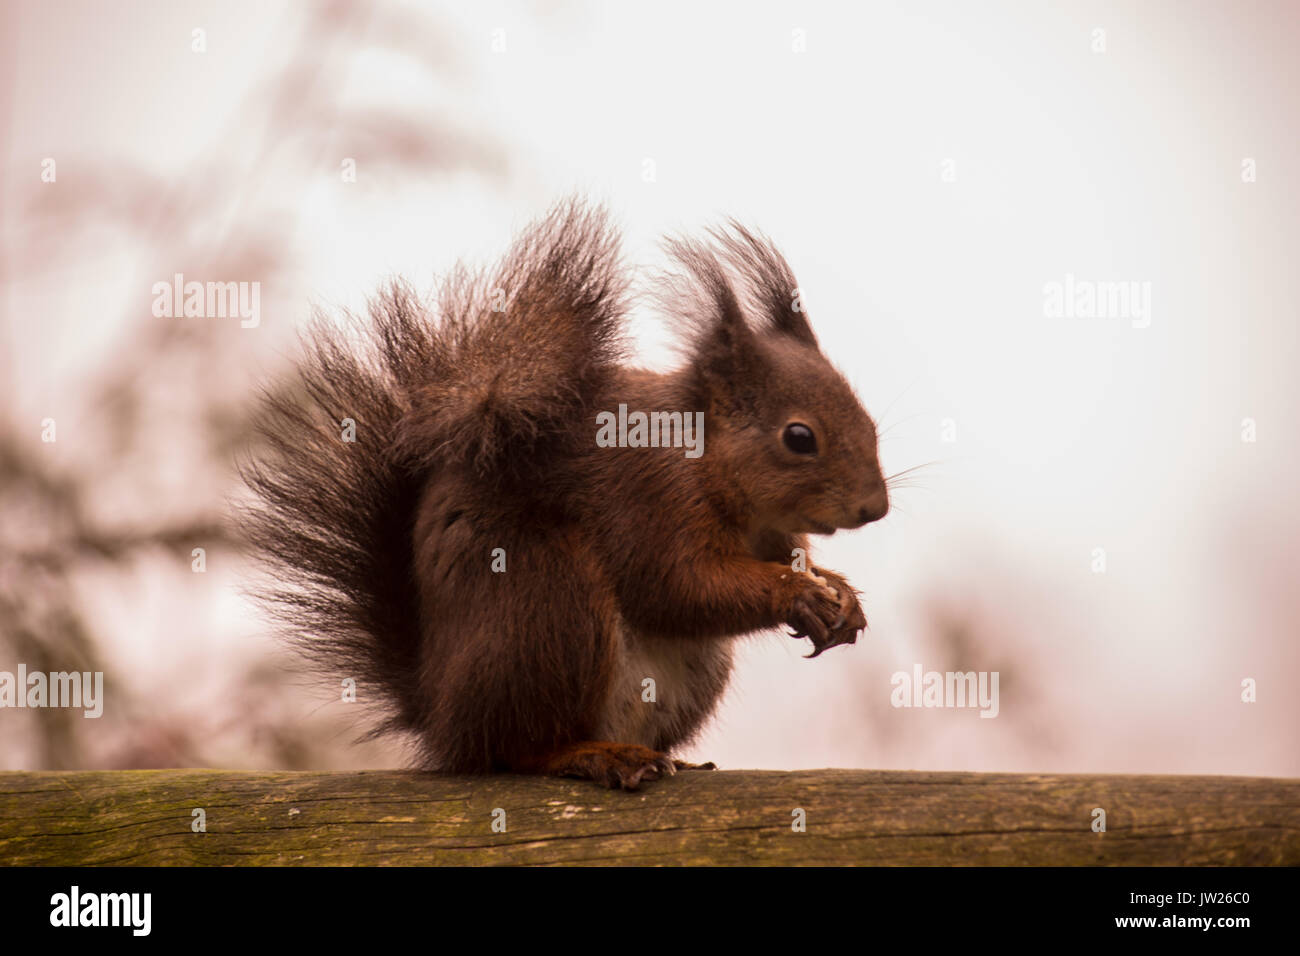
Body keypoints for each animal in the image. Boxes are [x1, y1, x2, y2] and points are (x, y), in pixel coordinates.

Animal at [241, 197, 889, 790]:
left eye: (869, 419)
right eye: (799, 437)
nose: (875, 509)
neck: (709, 463)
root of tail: (442, 718)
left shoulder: (772, 532)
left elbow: (783, 561)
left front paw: (839, 592)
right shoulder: (649, 497)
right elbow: (675, 585)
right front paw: (795, 593)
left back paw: (663, 757)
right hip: (547, 602)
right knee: (519, 751)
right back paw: (597, 755)